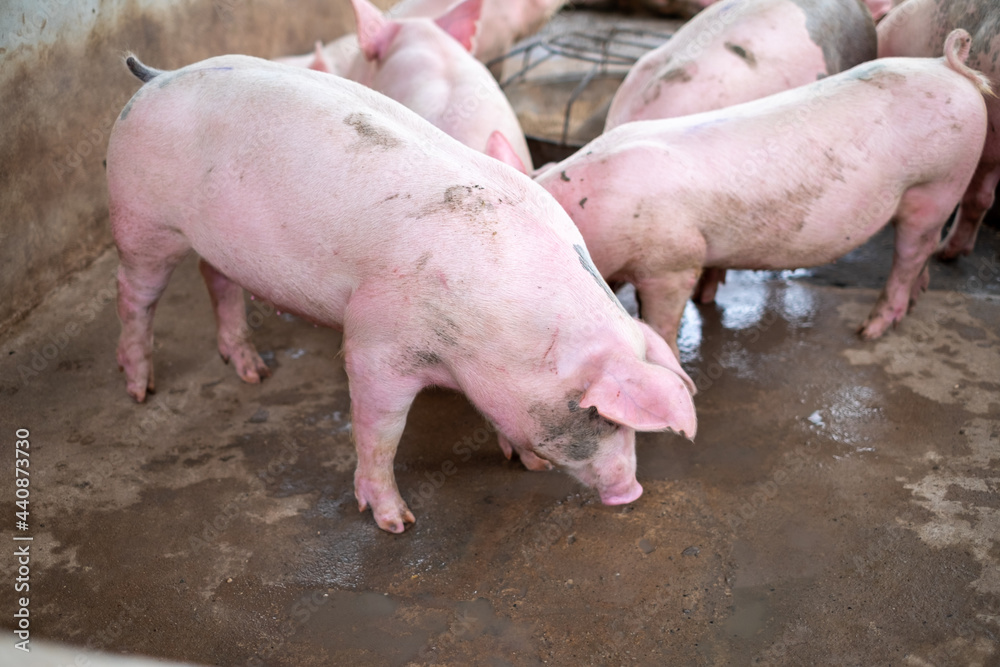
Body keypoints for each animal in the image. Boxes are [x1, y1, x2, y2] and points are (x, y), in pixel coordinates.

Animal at [108, 54, 697, 533]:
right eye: (602, 416)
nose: (631, 491)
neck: (498, 337)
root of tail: (157, 77)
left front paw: (524, 462)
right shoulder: (376, 340)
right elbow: (382, 429)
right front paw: (395, 523)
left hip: (215, 242)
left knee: (216, 279)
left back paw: (254, 372)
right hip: (140, 218)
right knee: (135, 294)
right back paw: (139, 390)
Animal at [533, 30, 990, 355]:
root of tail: (949, 65)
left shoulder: (673, 259)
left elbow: (661, 319)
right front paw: (705, 298)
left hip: (939, 182)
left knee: (910, 253)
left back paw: (870, 331)